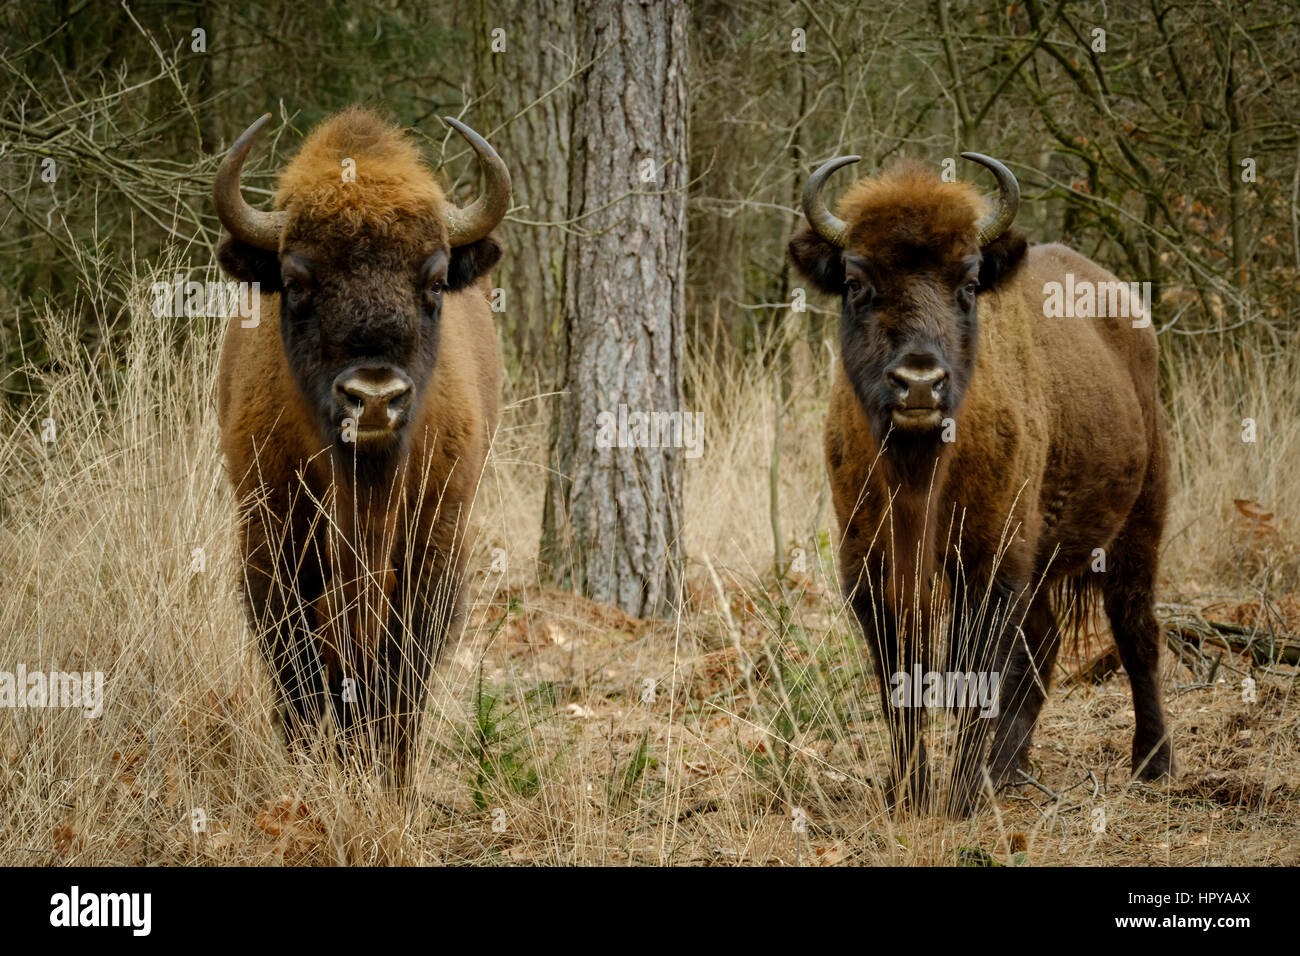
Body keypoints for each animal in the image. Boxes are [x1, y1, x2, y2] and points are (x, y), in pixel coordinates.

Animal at [213, 107, 509, 786]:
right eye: (296, 280)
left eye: (434, 280)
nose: (374, 397)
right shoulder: (271, 540)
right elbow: (299, 673)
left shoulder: (435, 544)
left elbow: (399, 676)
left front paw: (388, 783)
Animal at [788, 153, 1173, 815]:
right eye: (857, 282)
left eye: (967, 284)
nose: (919, 382)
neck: (920, 473)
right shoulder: (873, 570)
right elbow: (903, 682)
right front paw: (910, 794)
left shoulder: (989, 565)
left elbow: (974, 678)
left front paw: (960, 798)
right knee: (1044, 647)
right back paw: (1009, 768)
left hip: (1136, 526)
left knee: (1136, 630)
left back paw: (1153, 762)